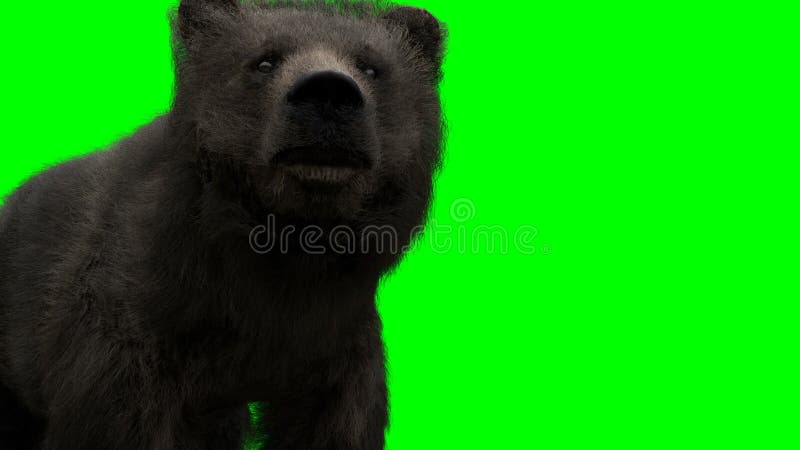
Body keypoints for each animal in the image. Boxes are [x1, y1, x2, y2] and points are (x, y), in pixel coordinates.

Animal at [0, 0, 446, 448]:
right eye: (264, 60)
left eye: (371, 67)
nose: (328, 92)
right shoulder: (126, 342)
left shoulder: (336, 353)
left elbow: (336, 427)